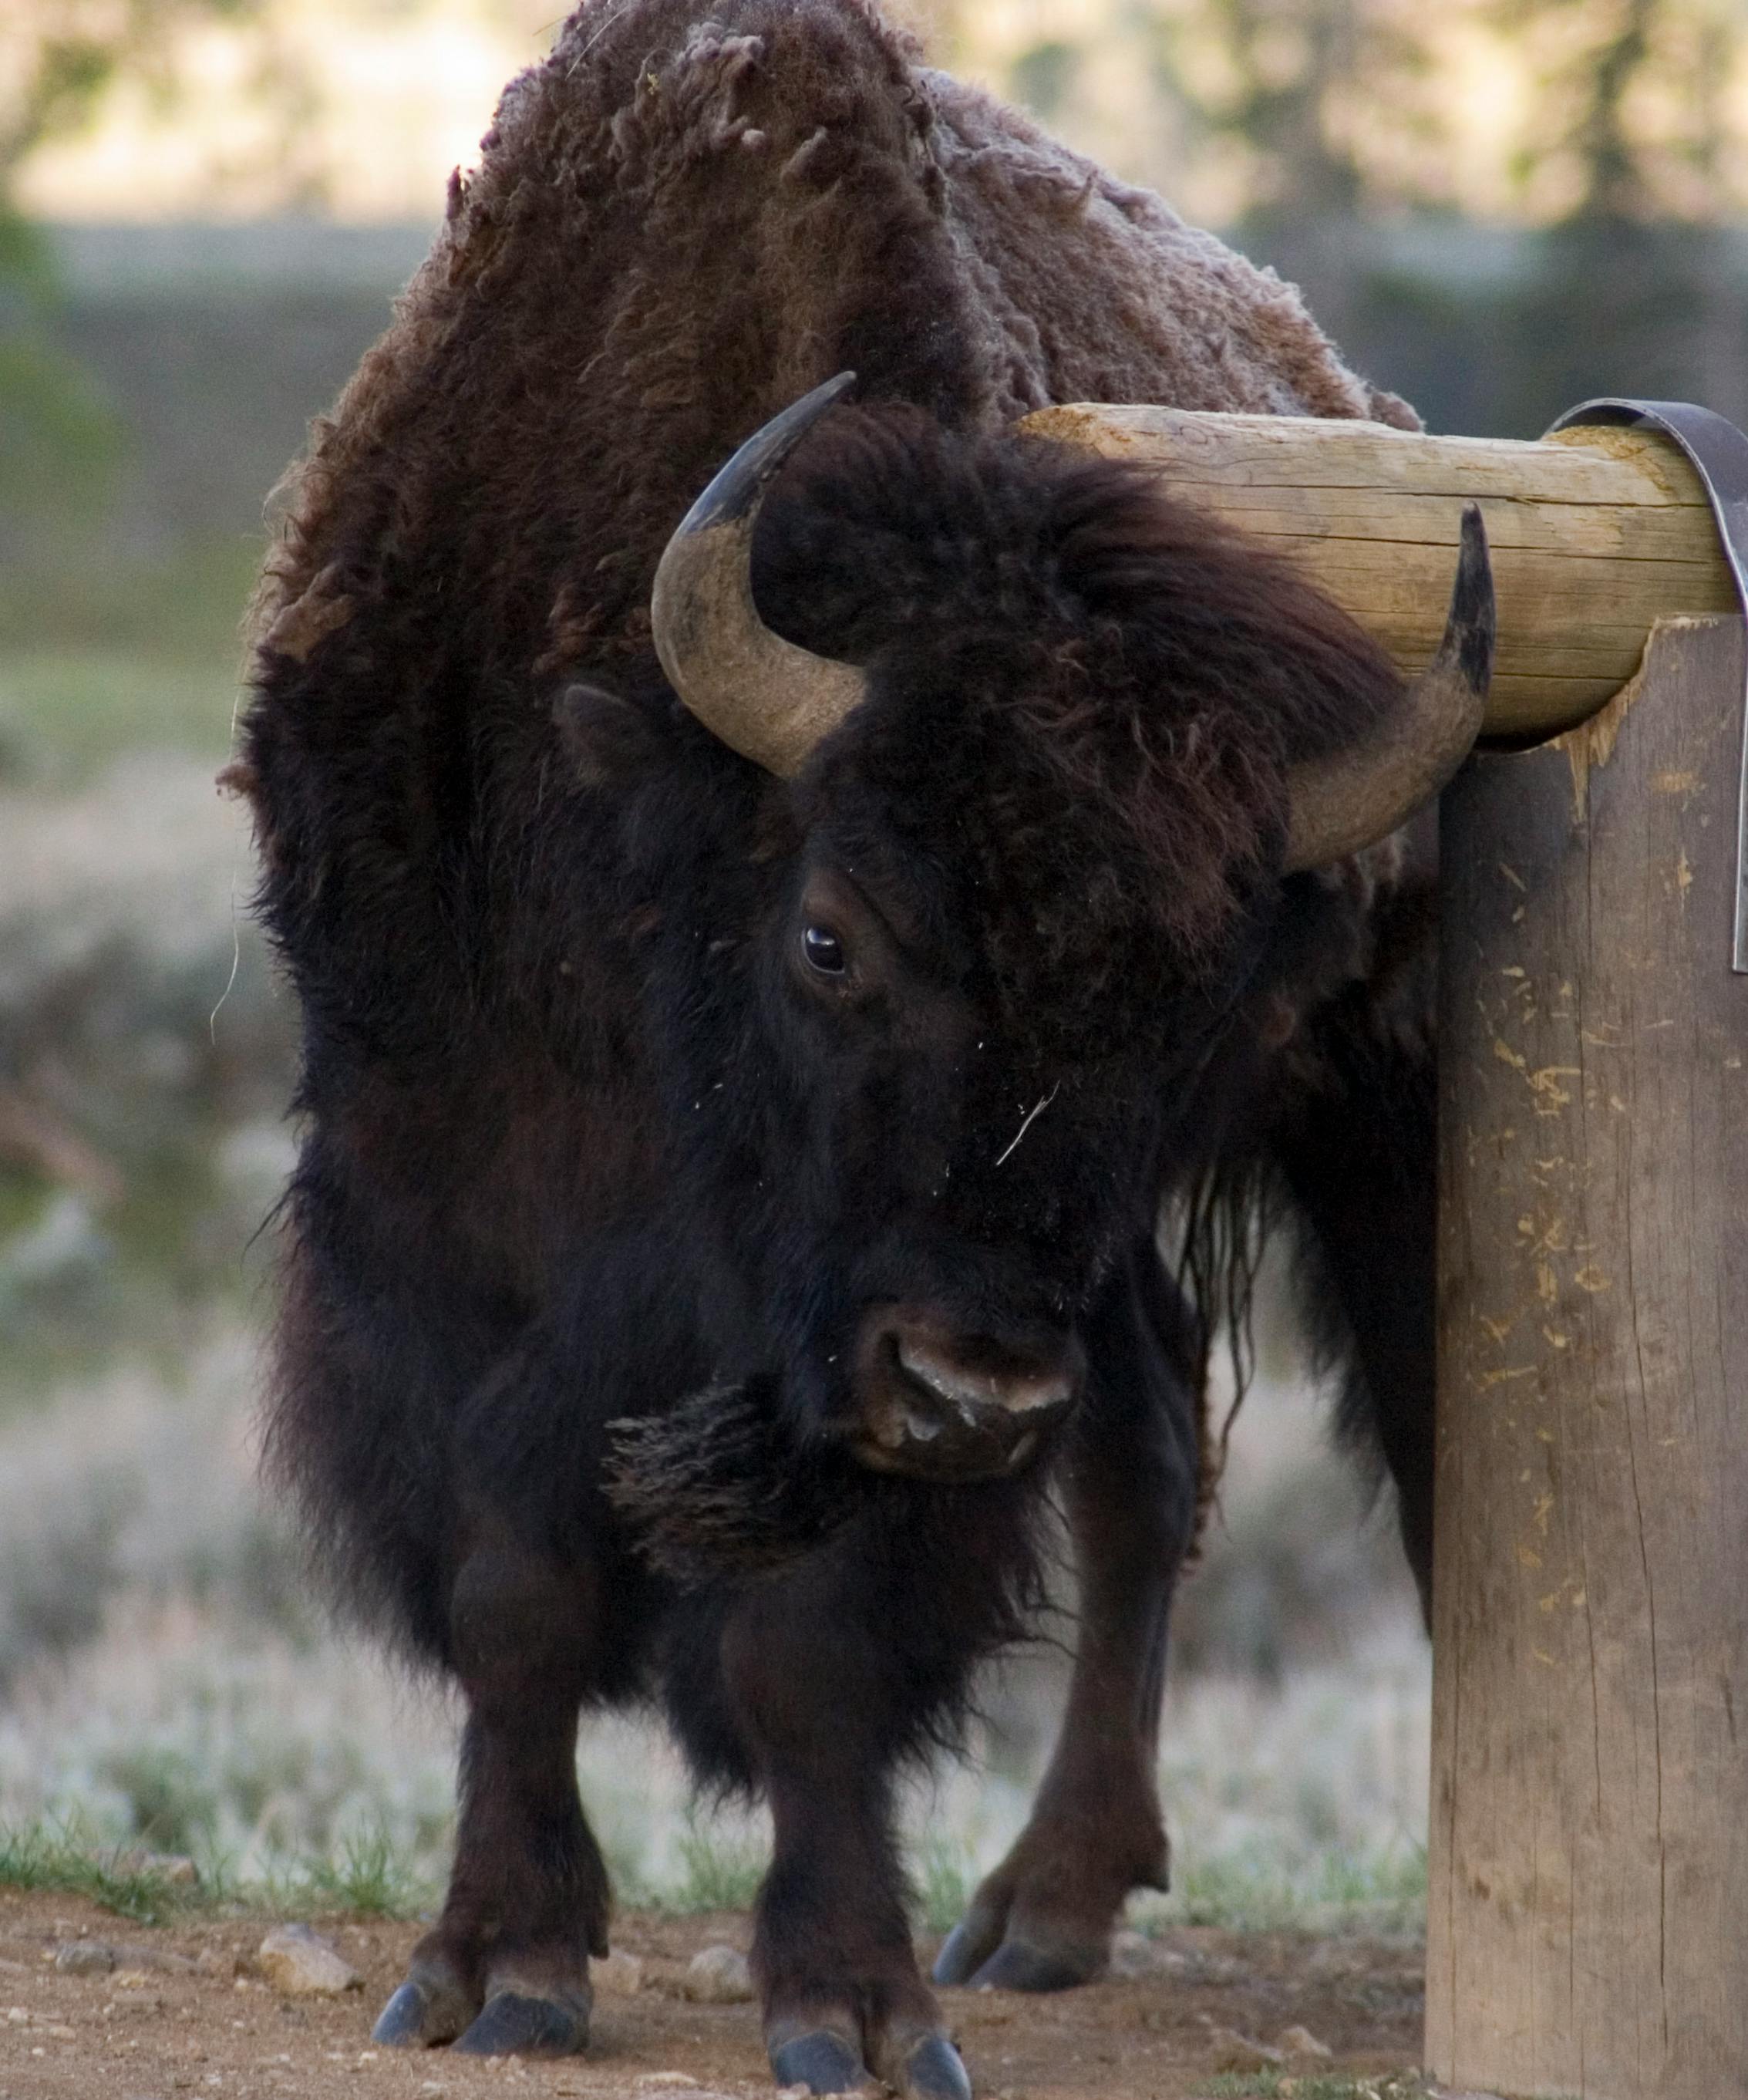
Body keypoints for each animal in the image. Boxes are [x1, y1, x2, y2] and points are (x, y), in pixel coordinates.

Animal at [237, 1, 1492, 2092]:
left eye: (1199, 1010)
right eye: (830, 935)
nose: (969, 1391)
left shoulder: (855, 1386)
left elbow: (804, 1652)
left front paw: (849, 2007)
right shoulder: (443, 1228)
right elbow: (515, 1595)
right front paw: (496, 1969)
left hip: (1335, 1142)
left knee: (1364, 1437)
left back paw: (1053, 1902)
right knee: (1145, 1441)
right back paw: (1046, 1911)